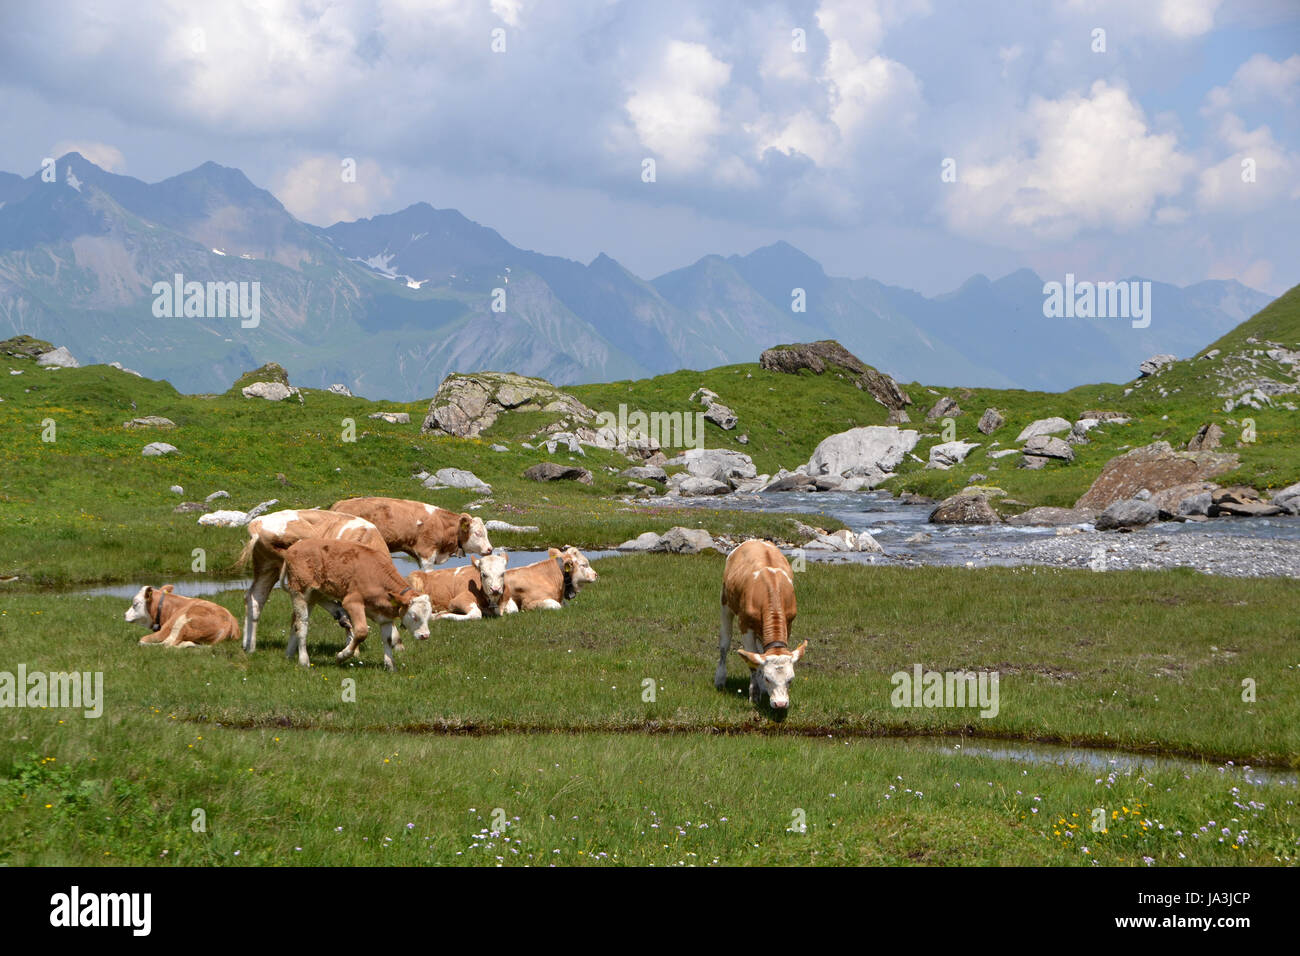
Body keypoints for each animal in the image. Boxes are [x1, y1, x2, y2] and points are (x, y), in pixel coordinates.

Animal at [278, 538, 434, 671]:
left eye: (428, 616)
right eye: (414, 616)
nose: (425, 635)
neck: (378, 578)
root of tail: (294, 547)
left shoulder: (385, 616)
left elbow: (388, 639)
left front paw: (390, 666)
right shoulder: (352, 602)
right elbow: (361, 632)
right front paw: (342, 656)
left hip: (313, 594)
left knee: (296, 622)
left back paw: (289, 654)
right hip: (299, 593)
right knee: (302, 625)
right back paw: (304, 660)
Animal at [715, 539, 805, 710]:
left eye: (790, 679)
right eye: (769, 678)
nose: (781, 704)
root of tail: (755, 540)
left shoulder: (788, 623)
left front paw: (761, 689)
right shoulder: (745, 625)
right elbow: (753, 663)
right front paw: (754, 695)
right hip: (725, 603)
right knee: (725, 642)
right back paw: (720, 679)